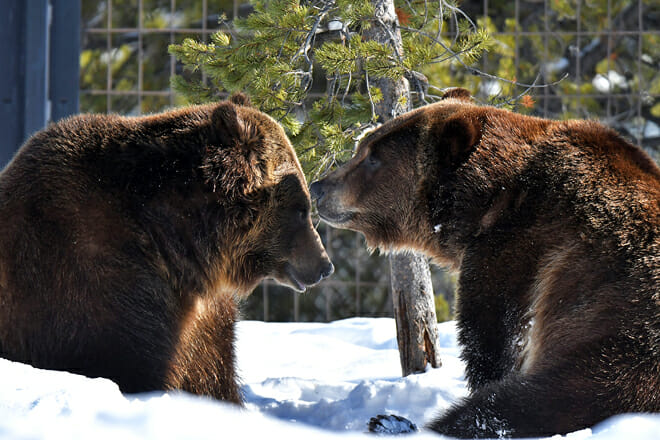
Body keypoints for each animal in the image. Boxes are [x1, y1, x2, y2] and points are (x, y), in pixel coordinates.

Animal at [0, 93, 333, 404]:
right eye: (301, 209)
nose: (325, 265)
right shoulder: (94, 282)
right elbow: (127, 363)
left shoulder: (203, 320)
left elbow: (212, 374)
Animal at [310, 88, 660, 438]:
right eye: (363, 144)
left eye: (373, 156)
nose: (318, 187)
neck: (484, 198)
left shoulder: (515, 243)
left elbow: (492, 334)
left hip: (616, 343)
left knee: (531, 403)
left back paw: (393, 422)